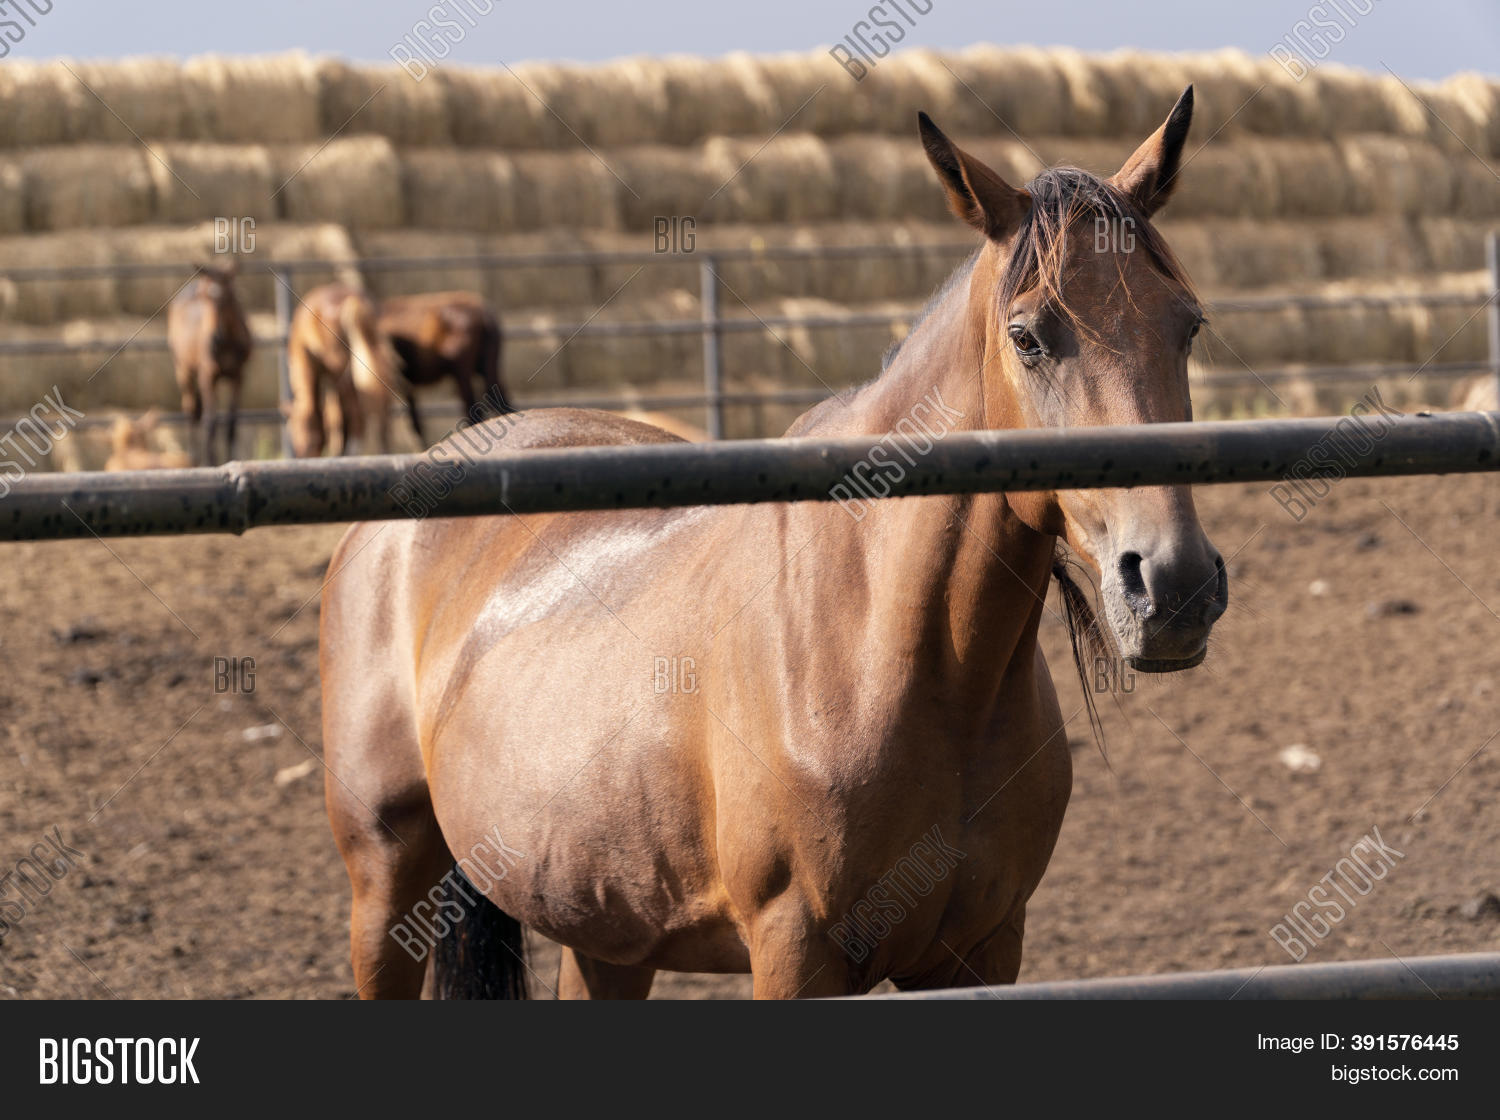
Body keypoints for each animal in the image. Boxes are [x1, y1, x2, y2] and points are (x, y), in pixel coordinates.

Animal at [167, 260, 253, 465]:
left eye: (228, 296)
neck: (228, 342)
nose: (214, 339)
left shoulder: (238, 376)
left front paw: (231, 458)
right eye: (203, 296)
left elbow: (232, 422)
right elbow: (210, 421)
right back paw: (194, 457)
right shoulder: (208, 375)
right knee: (191, 410)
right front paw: (212, 462)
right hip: (183, 370)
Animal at [284, 284, 403, 458]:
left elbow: (336, 416)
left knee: (356, 414)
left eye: (307, 442)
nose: (304, 457)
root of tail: (353, 300)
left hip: (342, 372)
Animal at [378, 291, 510, 447]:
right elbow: (415, 421)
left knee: (473, 409)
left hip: (462, 373)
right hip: (488, 368)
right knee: (501, 399)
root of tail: (483, 312)